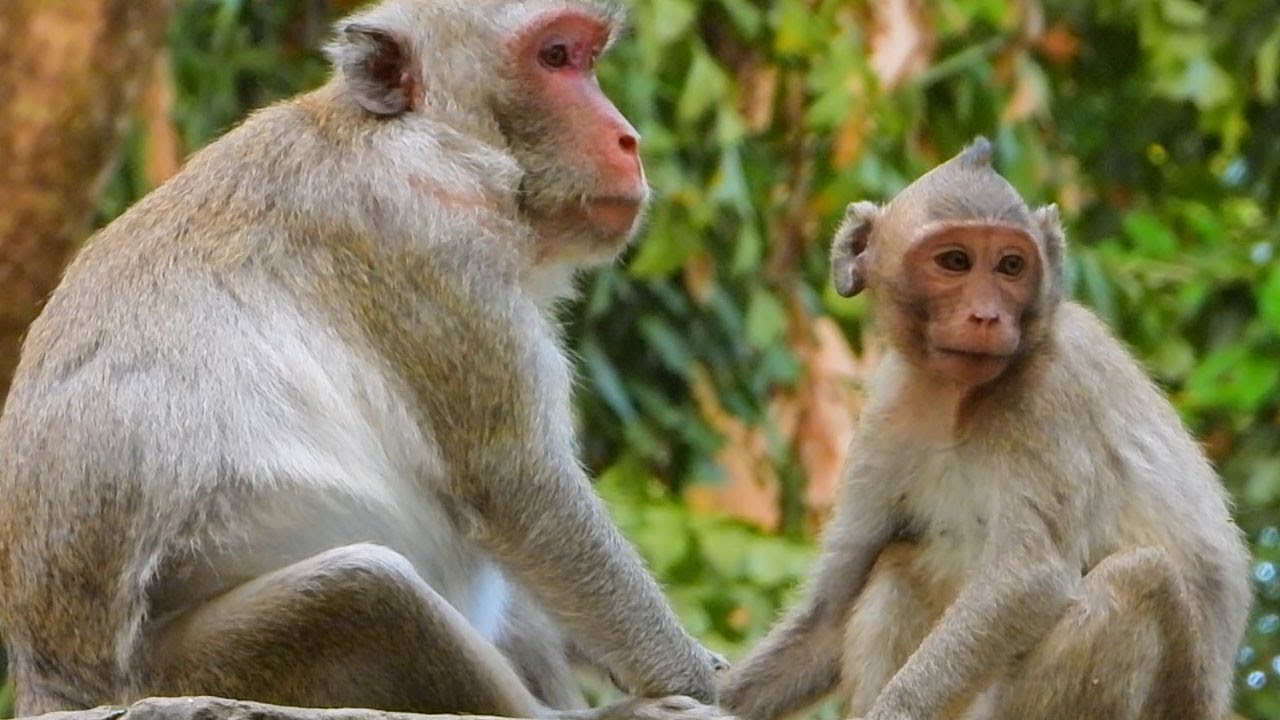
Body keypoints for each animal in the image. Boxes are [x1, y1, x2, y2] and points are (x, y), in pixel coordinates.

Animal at [0, 1, 731, 719]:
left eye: (587, 57)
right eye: (555, 56)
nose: (629, 140)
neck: (419, 137)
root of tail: (52, 688)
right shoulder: (428, 242)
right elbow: (520, 487)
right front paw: (695, 679)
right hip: (187, 671)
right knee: (363, 591)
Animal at [718, 137, 1252, 720]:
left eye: (1011, 266)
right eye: (955, 261)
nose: (987, 316)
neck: (959, 399)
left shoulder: (1051, 394)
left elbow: (1027, 578)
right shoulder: (889, 413)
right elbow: (831, 615)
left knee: (1140, 579)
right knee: (897, 563)